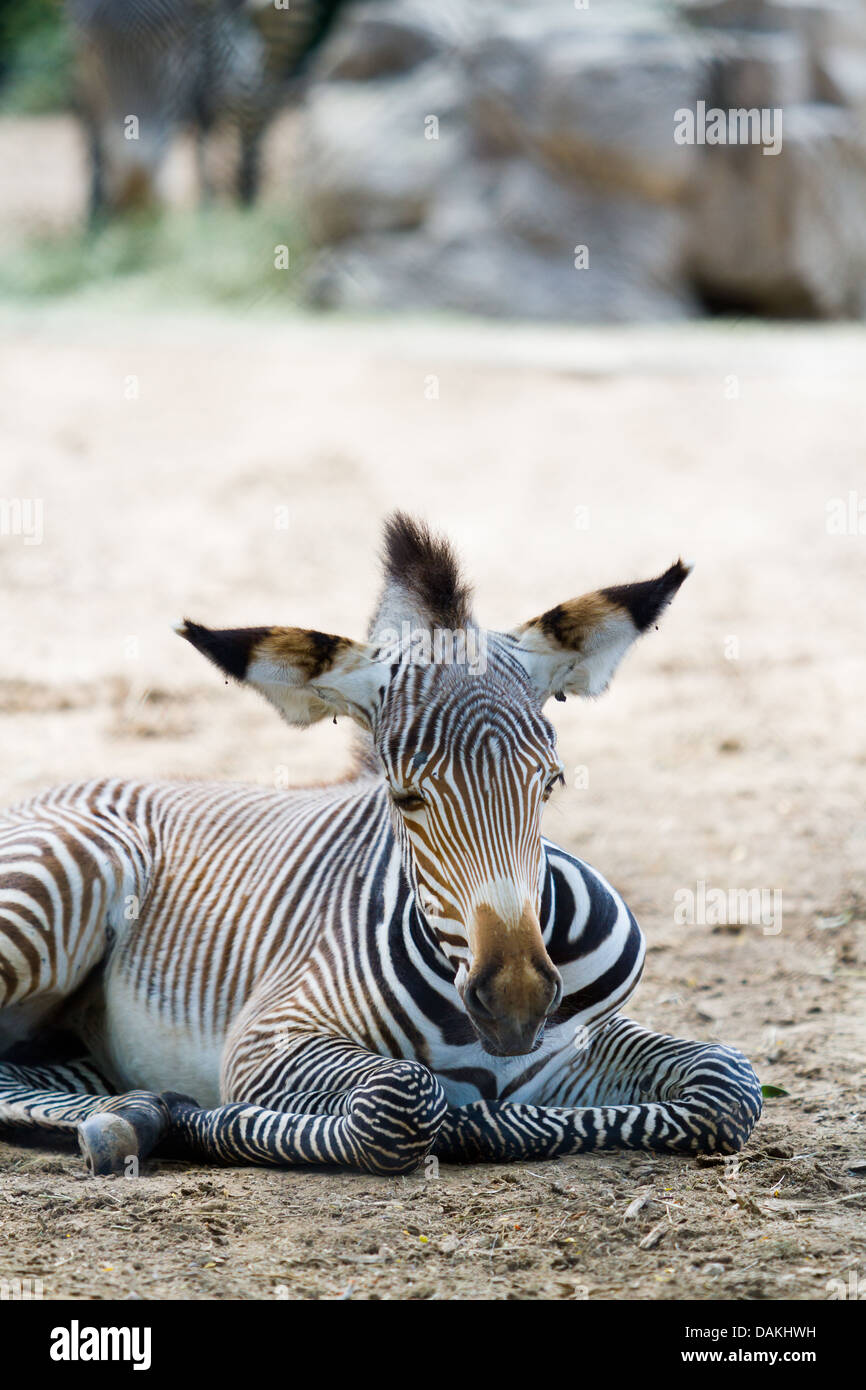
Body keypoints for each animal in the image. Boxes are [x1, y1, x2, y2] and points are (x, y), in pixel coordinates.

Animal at [0, 514, 762, 1176]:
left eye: (551, 785)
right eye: (403, 797)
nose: (517, 1002)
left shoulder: (578, 1047)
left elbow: (726, 1085)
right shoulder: (265, 1039)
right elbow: (401, 1102)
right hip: (61, 880)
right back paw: (136, 1117)